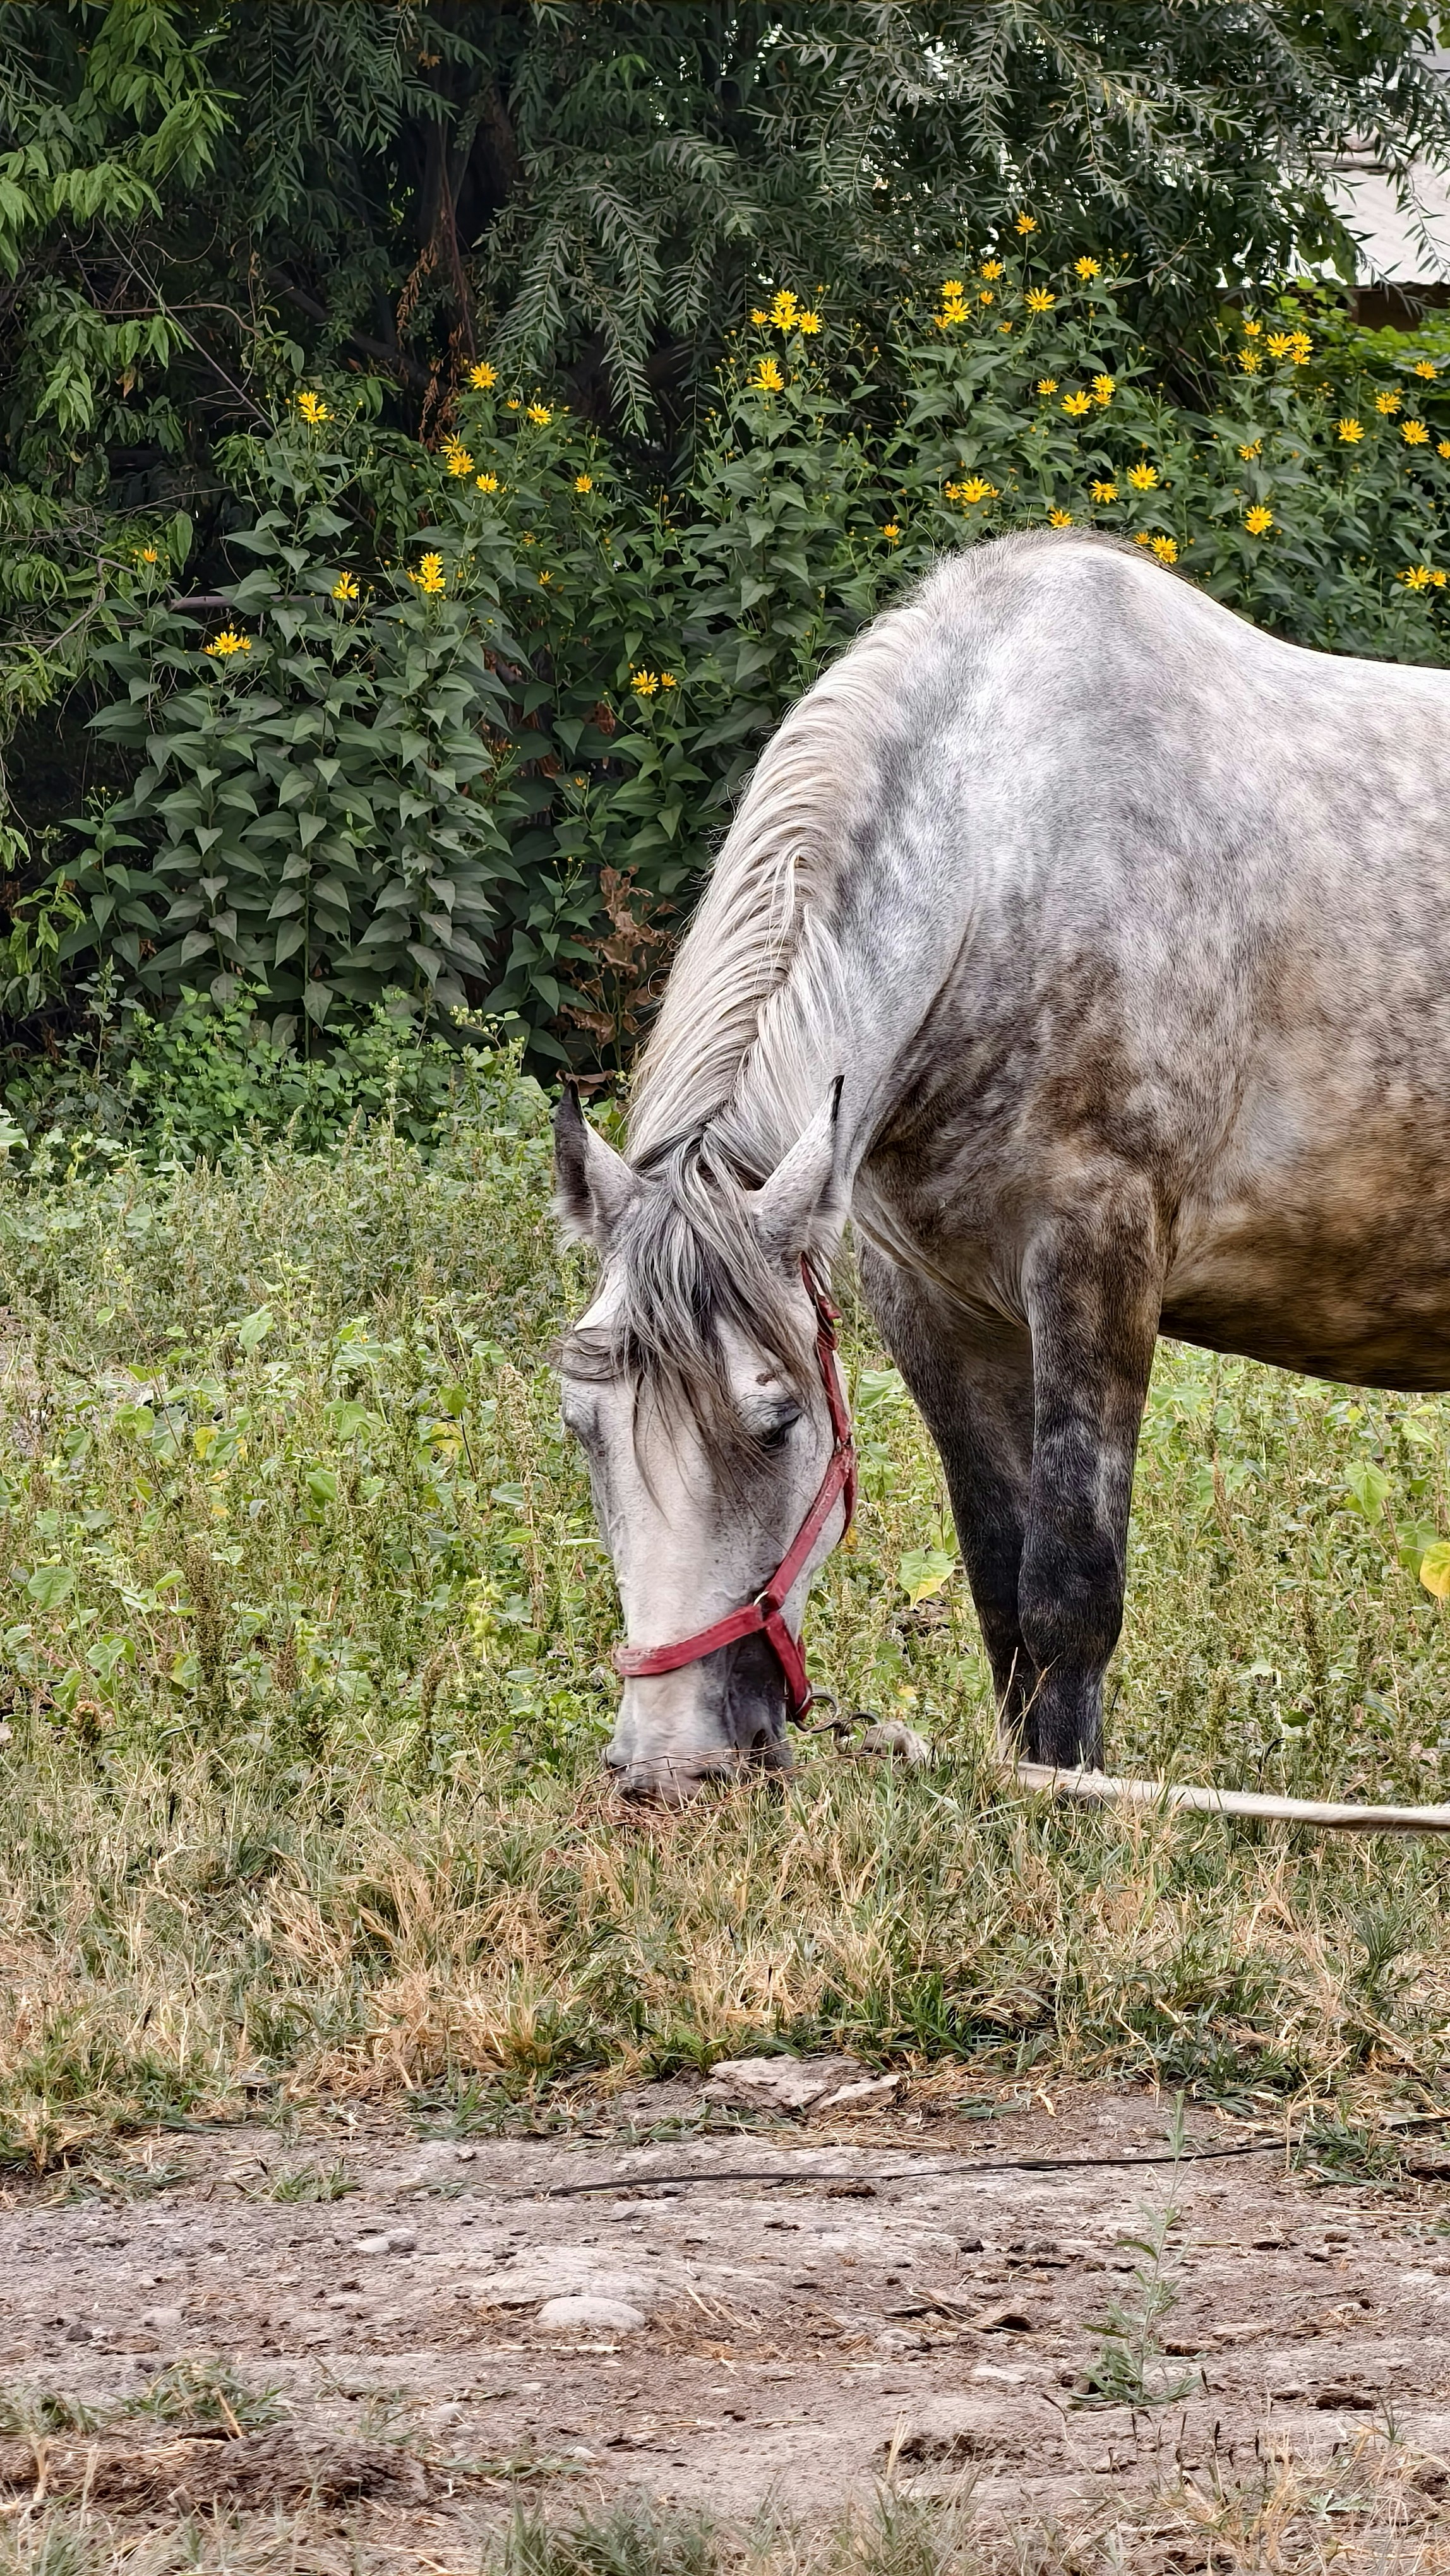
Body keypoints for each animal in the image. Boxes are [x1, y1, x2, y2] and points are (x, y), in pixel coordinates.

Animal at [555, 528, 1450, 1804]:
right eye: (583, 1425)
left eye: (777, 1422)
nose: (669, 1774)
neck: (1009, 862)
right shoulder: (933, 1303)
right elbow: (999, 1595)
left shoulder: (1097, 1263)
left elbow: (1068, 1595)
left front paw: (1076, 1813)